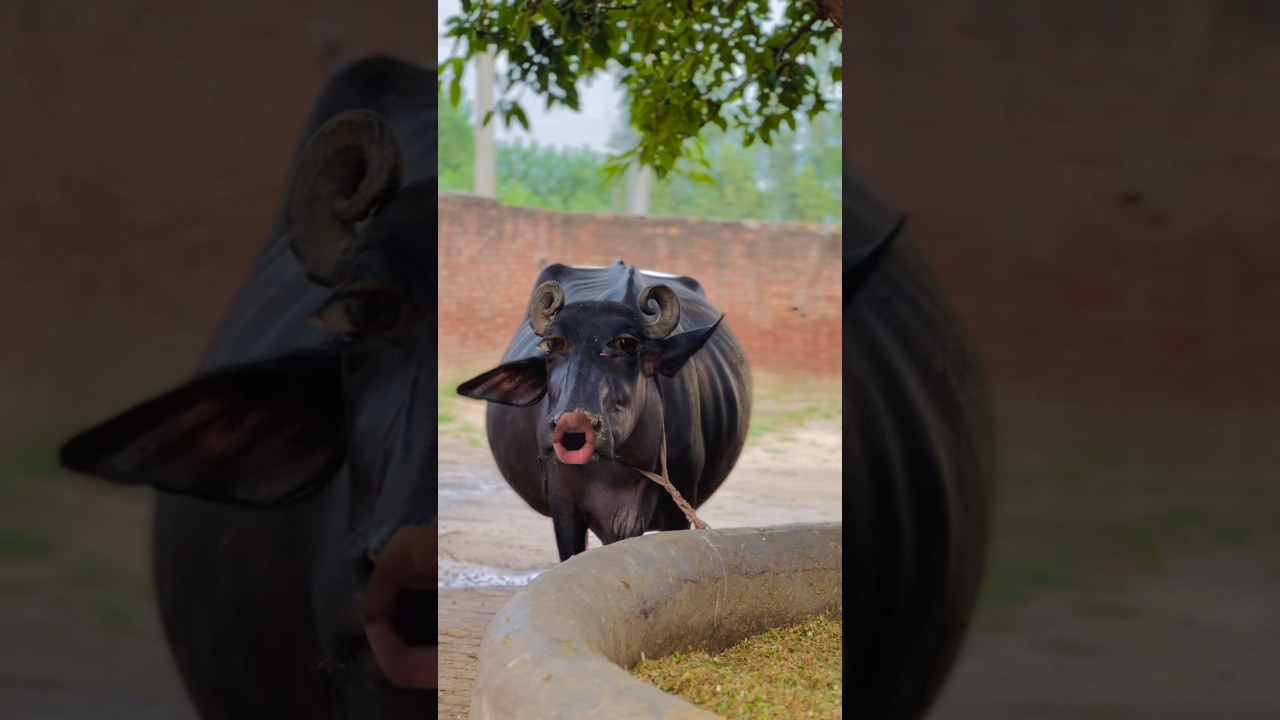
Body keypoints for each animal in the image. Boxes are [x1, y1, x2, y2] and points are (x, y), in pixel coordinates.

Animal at [458, 261, 752, 561]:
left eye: (627, 344)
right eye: (553, 344)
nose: (573, 426)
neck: (619, 471)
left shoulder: (678, 504)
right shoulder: (564, 506)